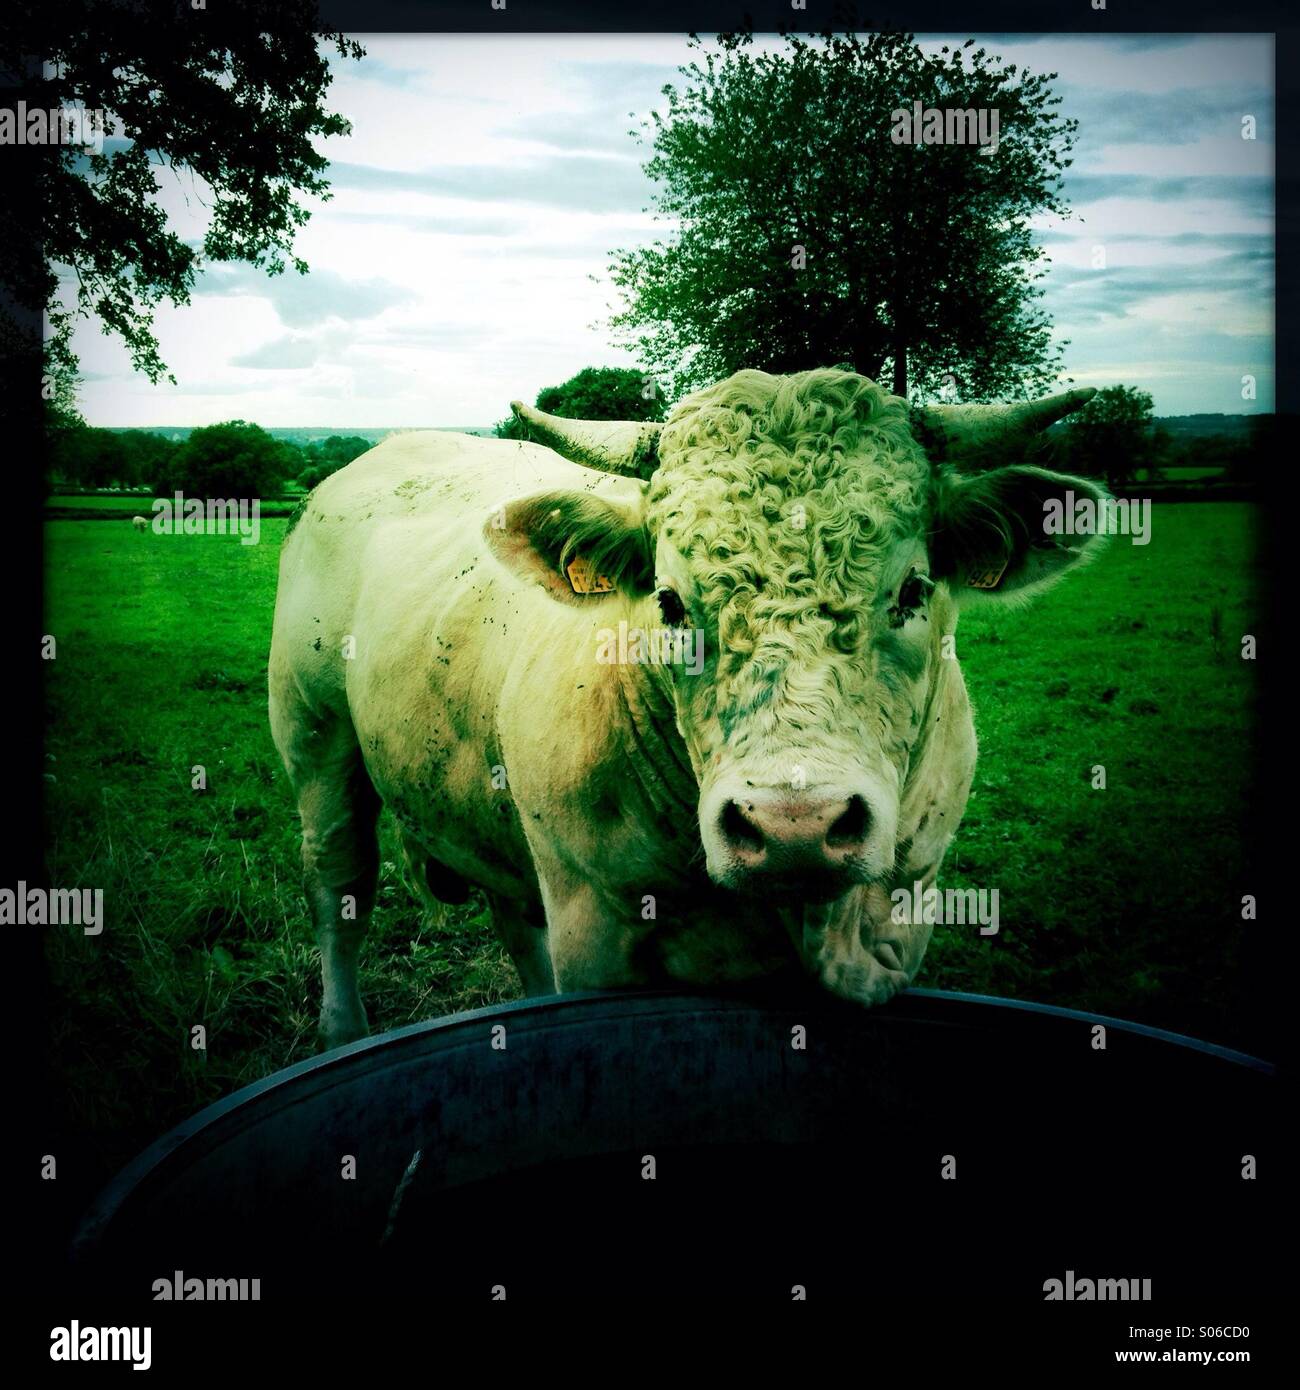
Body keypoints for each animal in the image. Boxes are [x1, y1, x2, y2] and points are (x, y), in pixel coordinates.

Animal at [269, 368, 1107, 1048]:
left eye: (914, 590)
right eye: (669, 601)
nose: (794, 827)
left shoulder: (904, 914)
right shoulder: (592, 930)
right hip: (316, 740)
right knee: (339, 884)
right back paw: (341, 1028)